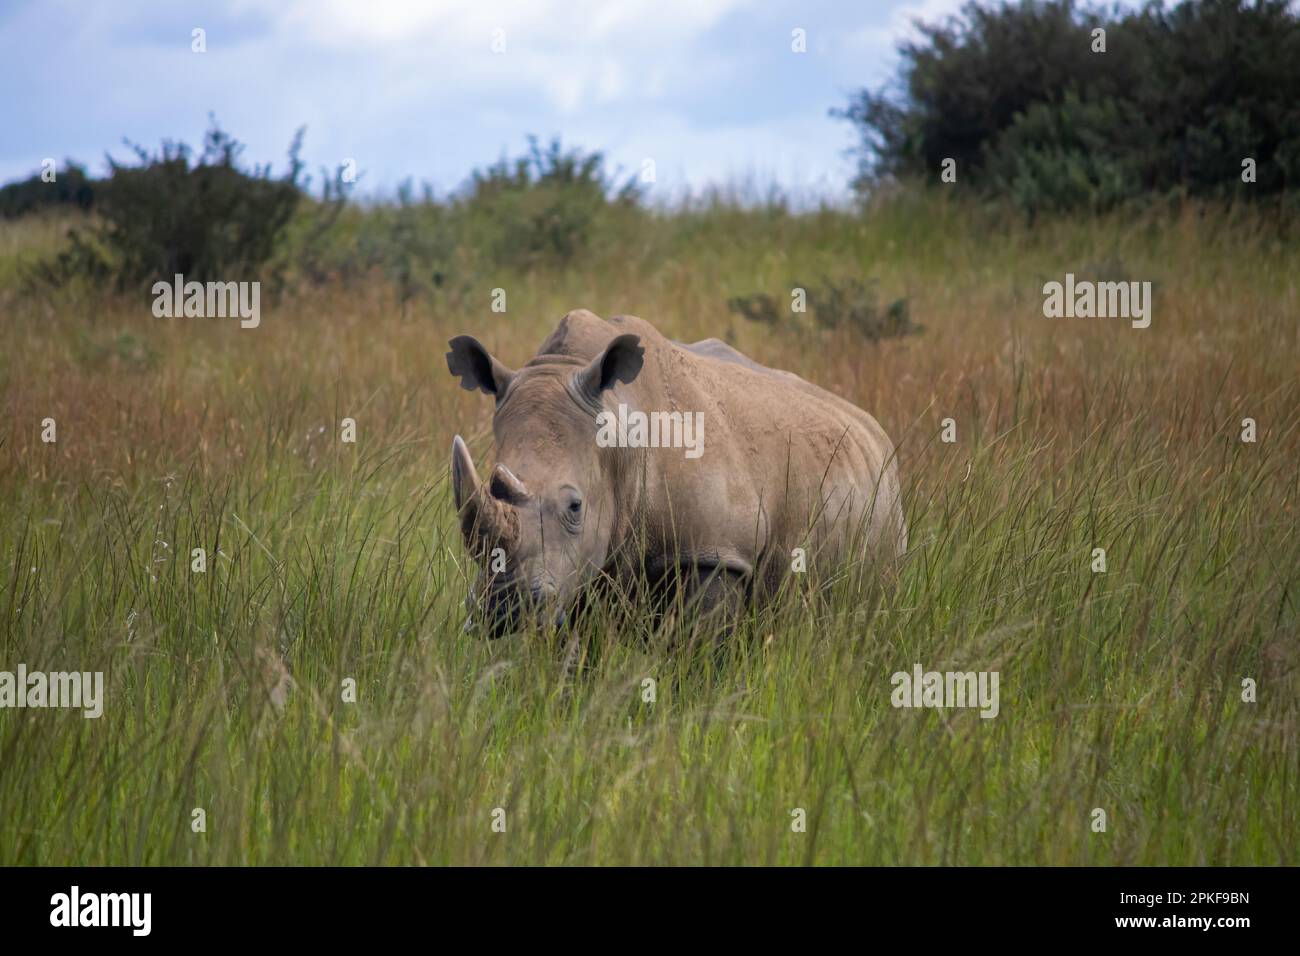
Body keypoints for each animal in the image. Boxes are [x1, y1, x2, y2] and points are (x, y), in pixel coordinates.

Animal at [447, 309, 906, 636]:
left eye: (575, 506)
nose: (504, 610)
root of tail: (873, 428)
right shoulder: (576, 568)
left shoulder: (716, 552)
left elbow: (699, 654)